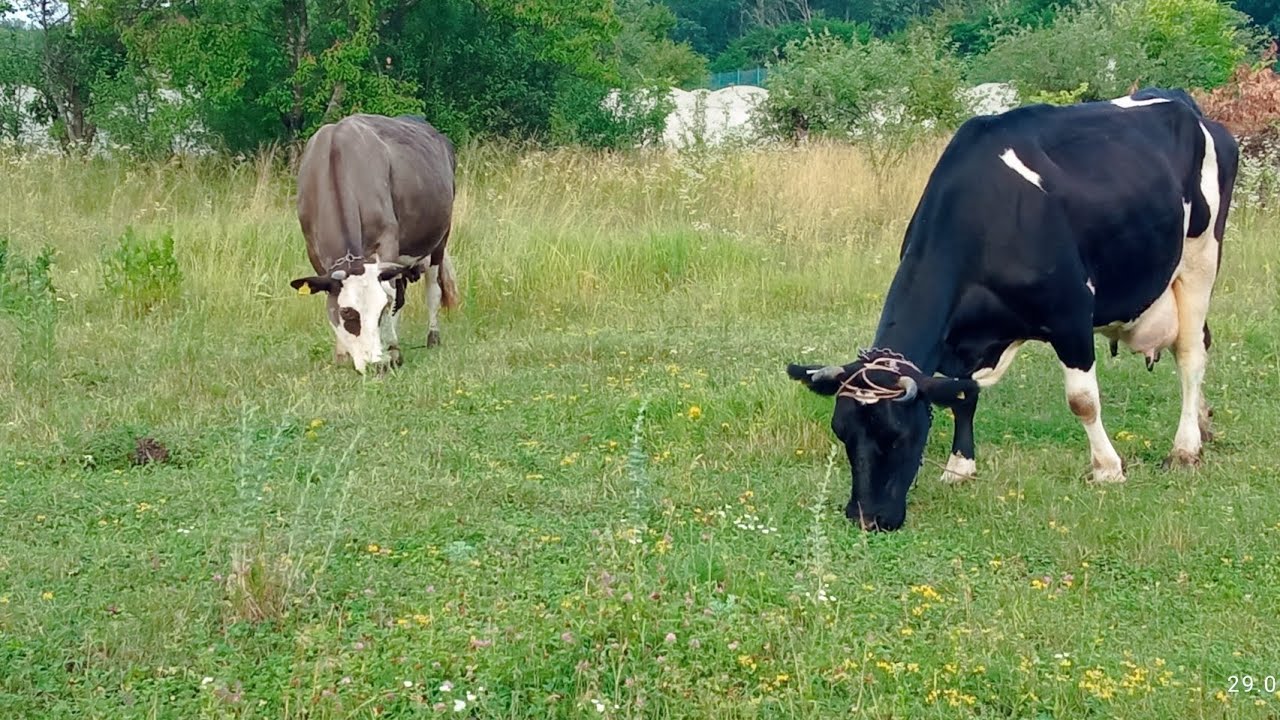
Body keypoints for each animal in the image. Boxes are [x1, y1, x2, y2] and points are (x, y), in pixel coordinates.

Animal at [289, 113, 460, 374]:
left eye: (379, 310)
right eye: (347, 313)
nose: (374, 364)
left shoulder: (387, 239)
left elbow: (390, 294)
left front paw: (392, 351)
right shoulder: (313, 249)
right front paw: (341, 355)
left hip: (439, 238)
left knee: (432, 289)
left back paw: (432, 337)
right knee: (401, 293)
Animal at [787, 88, 1238, 532]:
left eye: (895, 435)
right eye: (842, 432)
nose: (865, 518)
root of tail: (1183, 101)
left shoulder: (1071, 315)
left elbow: (1083, 401)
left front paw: (1107, 468)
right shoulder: (961, 342)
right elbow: (963, 396)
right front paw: (960, 467)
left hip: (1199, 262)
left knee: (1190, 355)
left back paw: (1184, 448)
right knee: (1200, 342)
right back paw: (1203, 423)